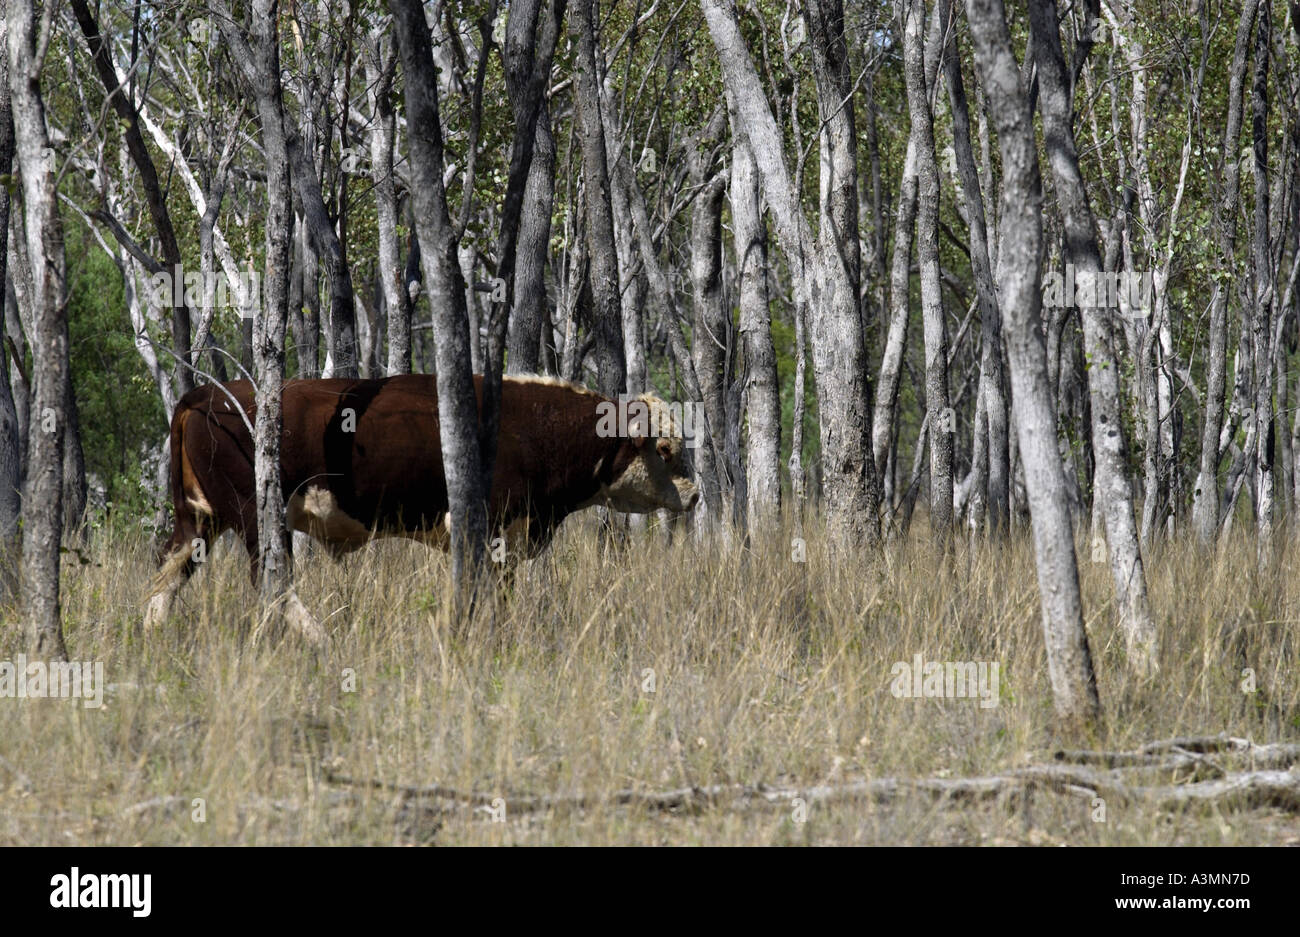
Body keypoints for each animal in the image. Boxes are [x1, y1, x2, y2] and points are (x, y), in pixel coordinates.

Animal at [144, 374, 700, 628]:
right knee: (272, 579)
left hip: (199, 519)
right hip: (255, 516)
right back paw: (320, 638)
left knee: (168, 570)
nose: (695, 497)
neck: (532, 427)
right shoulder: (483, 527)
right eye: (664, 448)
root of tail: (206, 394)